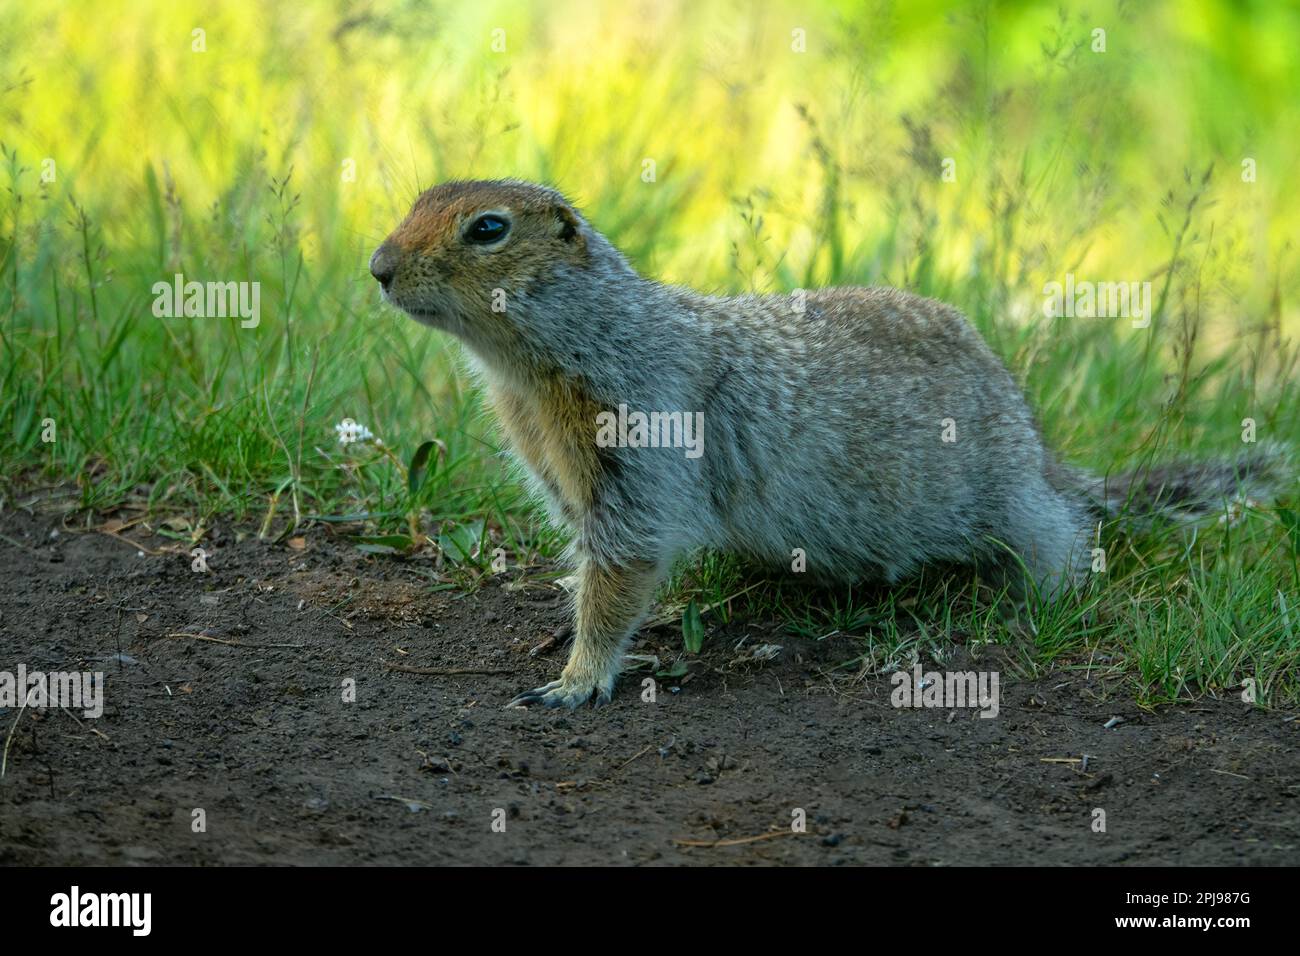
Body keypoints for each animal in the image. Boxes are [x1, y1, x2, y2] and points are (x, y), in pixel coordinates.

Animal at [371, 178, 1289, 709]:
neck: (535, 368)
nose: (376, 267)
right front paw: (561, 621)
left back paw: (1036, 593)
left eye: (488, 229)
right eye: (415, 200)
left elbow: (624, 560)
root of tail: (1046, 457)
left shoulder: (637, 430)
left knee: (1068, 540)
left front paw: (574, 679)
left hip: (1012, 506)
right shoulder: (552, 454)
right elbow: (590, 553)